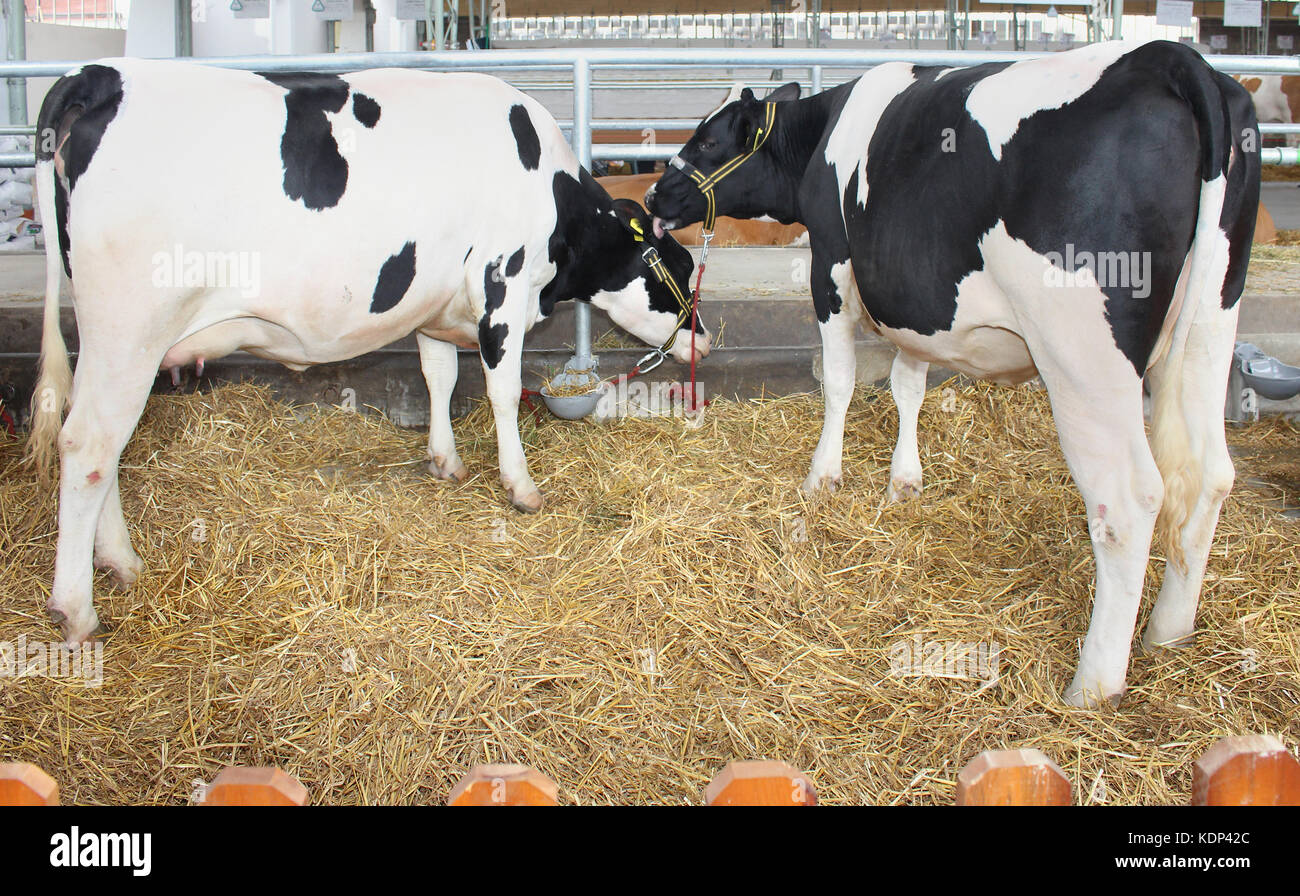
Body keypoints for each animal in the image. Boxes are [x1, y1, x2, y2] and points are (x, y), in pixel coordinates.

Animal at [25, 58, 709, 645]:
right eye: (681, 265)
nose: (705, 335)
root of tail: (97, 75)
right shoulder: (503, 287)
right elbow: (501, 391)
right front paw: (521, 485)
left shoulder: (435, 304)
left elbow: (438, 376)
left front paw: (445, 461)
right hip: (130, 328)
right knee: (88, 445)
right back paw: (78, 608)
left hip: (106, 338)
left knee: (97, 440)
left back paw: (122, 563)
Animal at [645, 40, 1260, 707]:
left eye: (709, 139)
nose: (654, 197)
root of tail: (1167, 57)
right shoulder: (915, 301)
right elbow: (908, 386)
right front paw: (904, 483)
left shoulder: (830, 264)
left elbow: (838, 381)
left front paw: (822, 478)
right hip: (1210, 322)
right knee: (1209, 475)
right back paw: (1169, 634)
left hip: (1085, 351)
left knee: (1128, 501)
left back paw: (1092, 685)